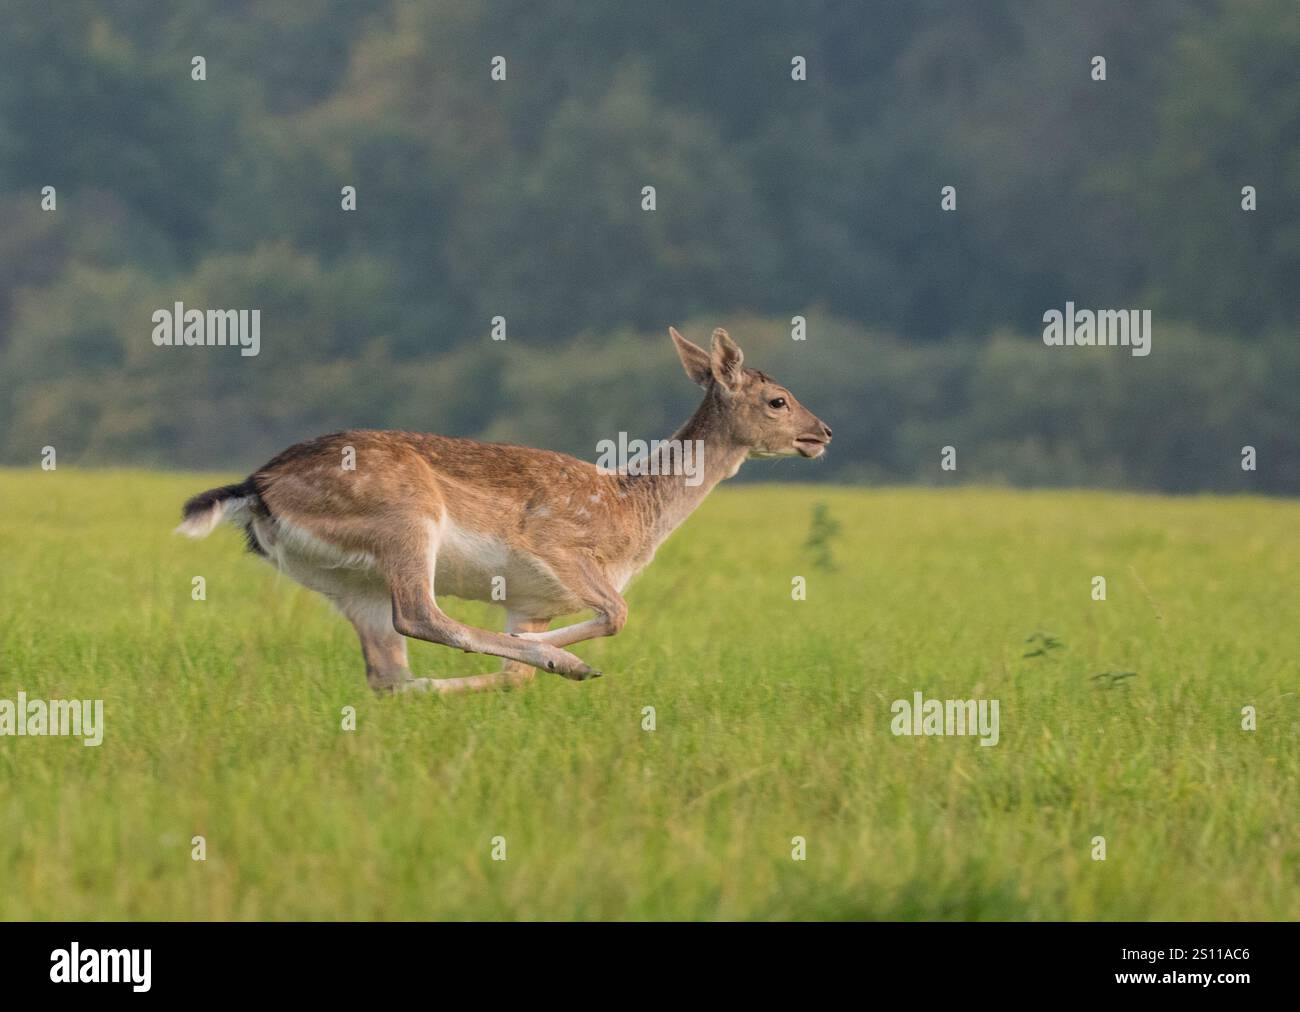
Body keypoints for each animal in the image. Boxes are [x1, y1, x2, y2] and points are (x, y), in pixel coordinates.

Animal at [176, 327, 831, 695]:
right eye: (778, 400)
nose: (822, 432)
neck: (634, 514)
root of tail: (255, 487)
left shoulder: (531, 601)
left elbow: (522, 670)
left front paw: (554, 660)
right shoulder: (556, 543)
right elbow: (618, 613)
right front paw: (569, 659)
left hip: (344, 579)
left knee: (388, 675)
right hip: (406, 520)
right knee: (421, 615)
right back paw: (562, 661)